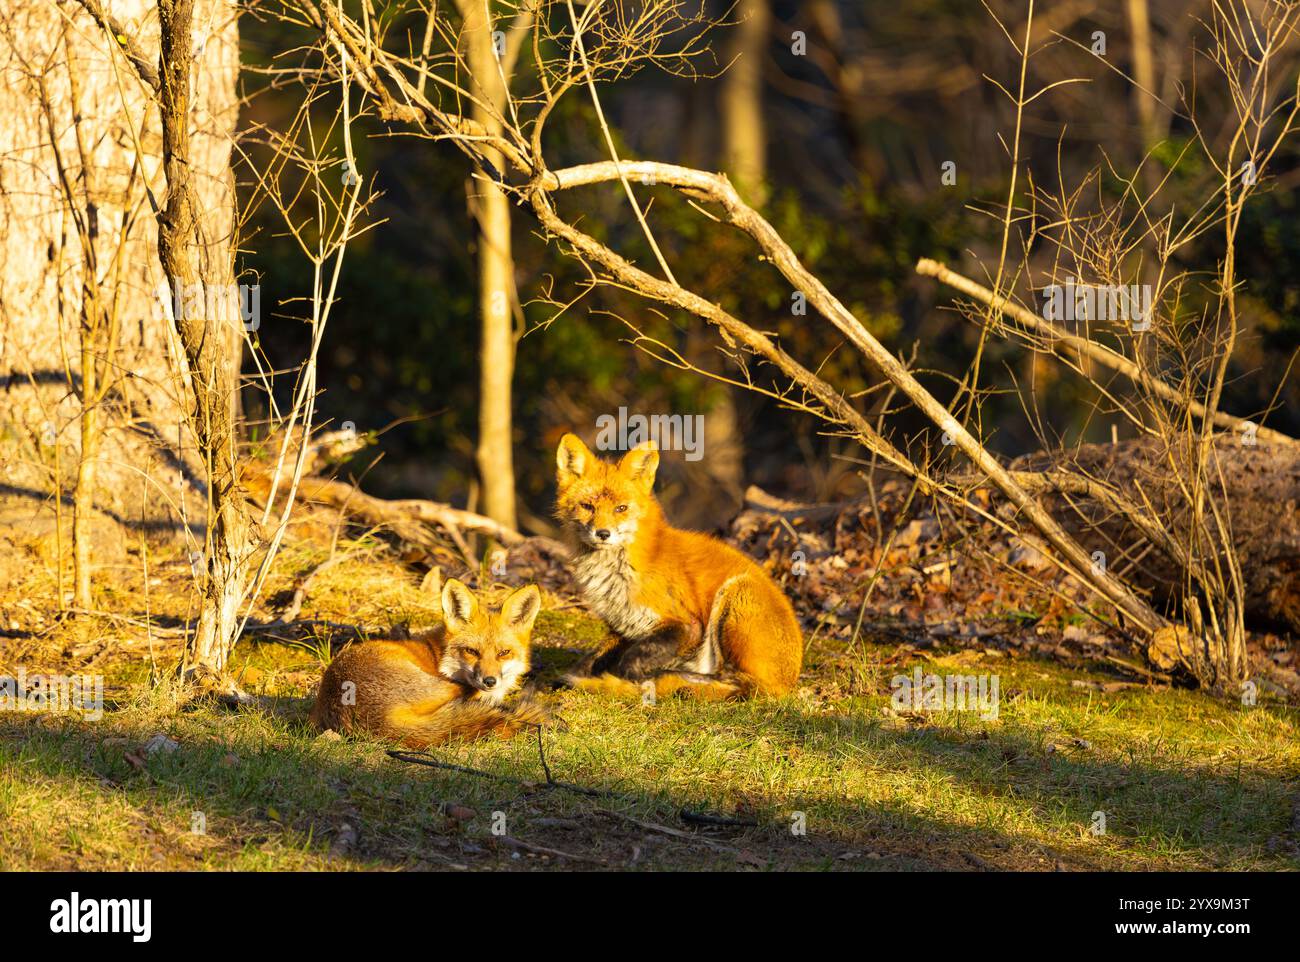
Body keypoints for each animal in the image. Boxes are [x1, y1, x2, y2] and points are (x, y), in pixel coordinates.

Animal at [554, 432, 803, 701]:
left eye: (621, 508)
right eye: (587, 506)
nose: (602, 533)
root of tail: (787, 683)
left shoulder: (687, 625)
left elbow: (631, 661)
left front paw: (634, 679)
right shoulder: (623, 629)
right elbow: (594, 658)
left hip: (734, 596)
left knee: (733, 683)